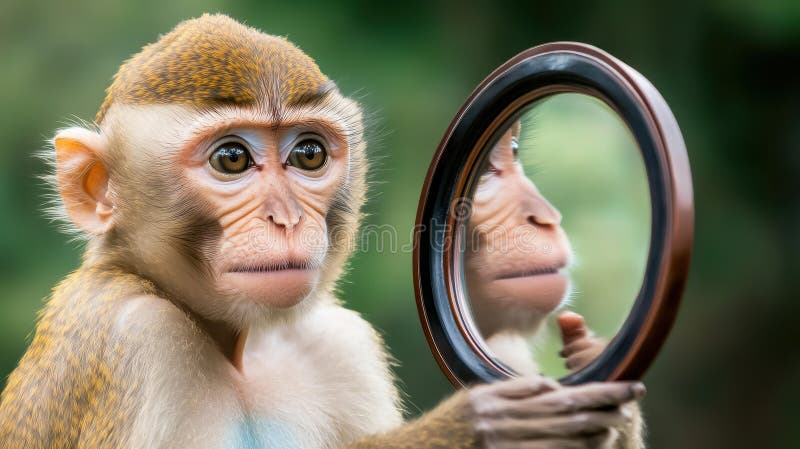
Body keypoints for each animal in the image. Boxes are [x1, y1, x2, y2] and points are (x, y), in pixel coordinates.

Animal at [0, 14, 644, 449]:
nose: (286, 218)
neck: (236, 345)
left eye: (308, 154)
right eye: (231, 159)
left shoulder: (342, 344)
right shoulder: (134, 336)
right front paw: (481, 427)